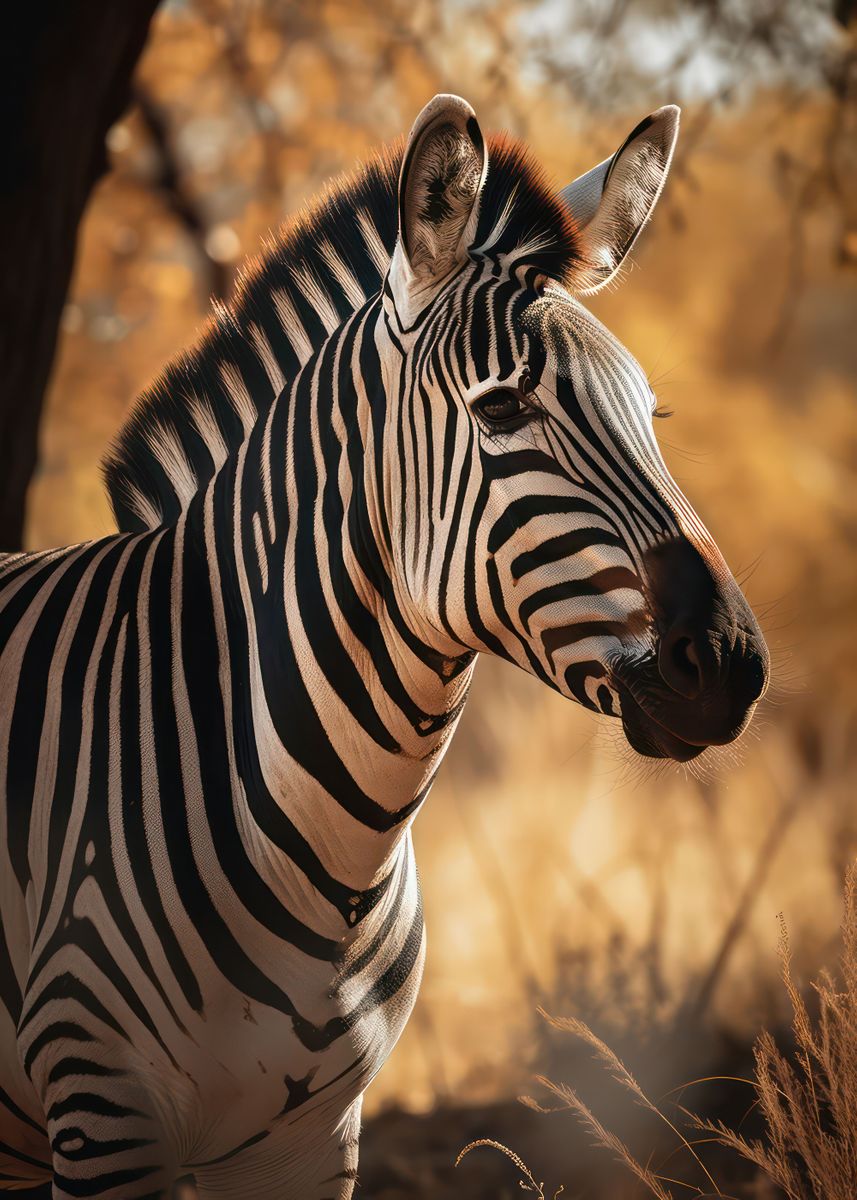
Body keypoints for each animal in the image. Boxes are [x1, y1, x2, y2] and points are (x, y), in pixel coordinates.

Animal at [0, 93, 769, 1198]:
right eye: (502, 405)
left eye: (649, 414)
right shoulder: (102, 1115)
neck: (330, 857)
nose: (731, 663)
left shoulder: (313, 1137)